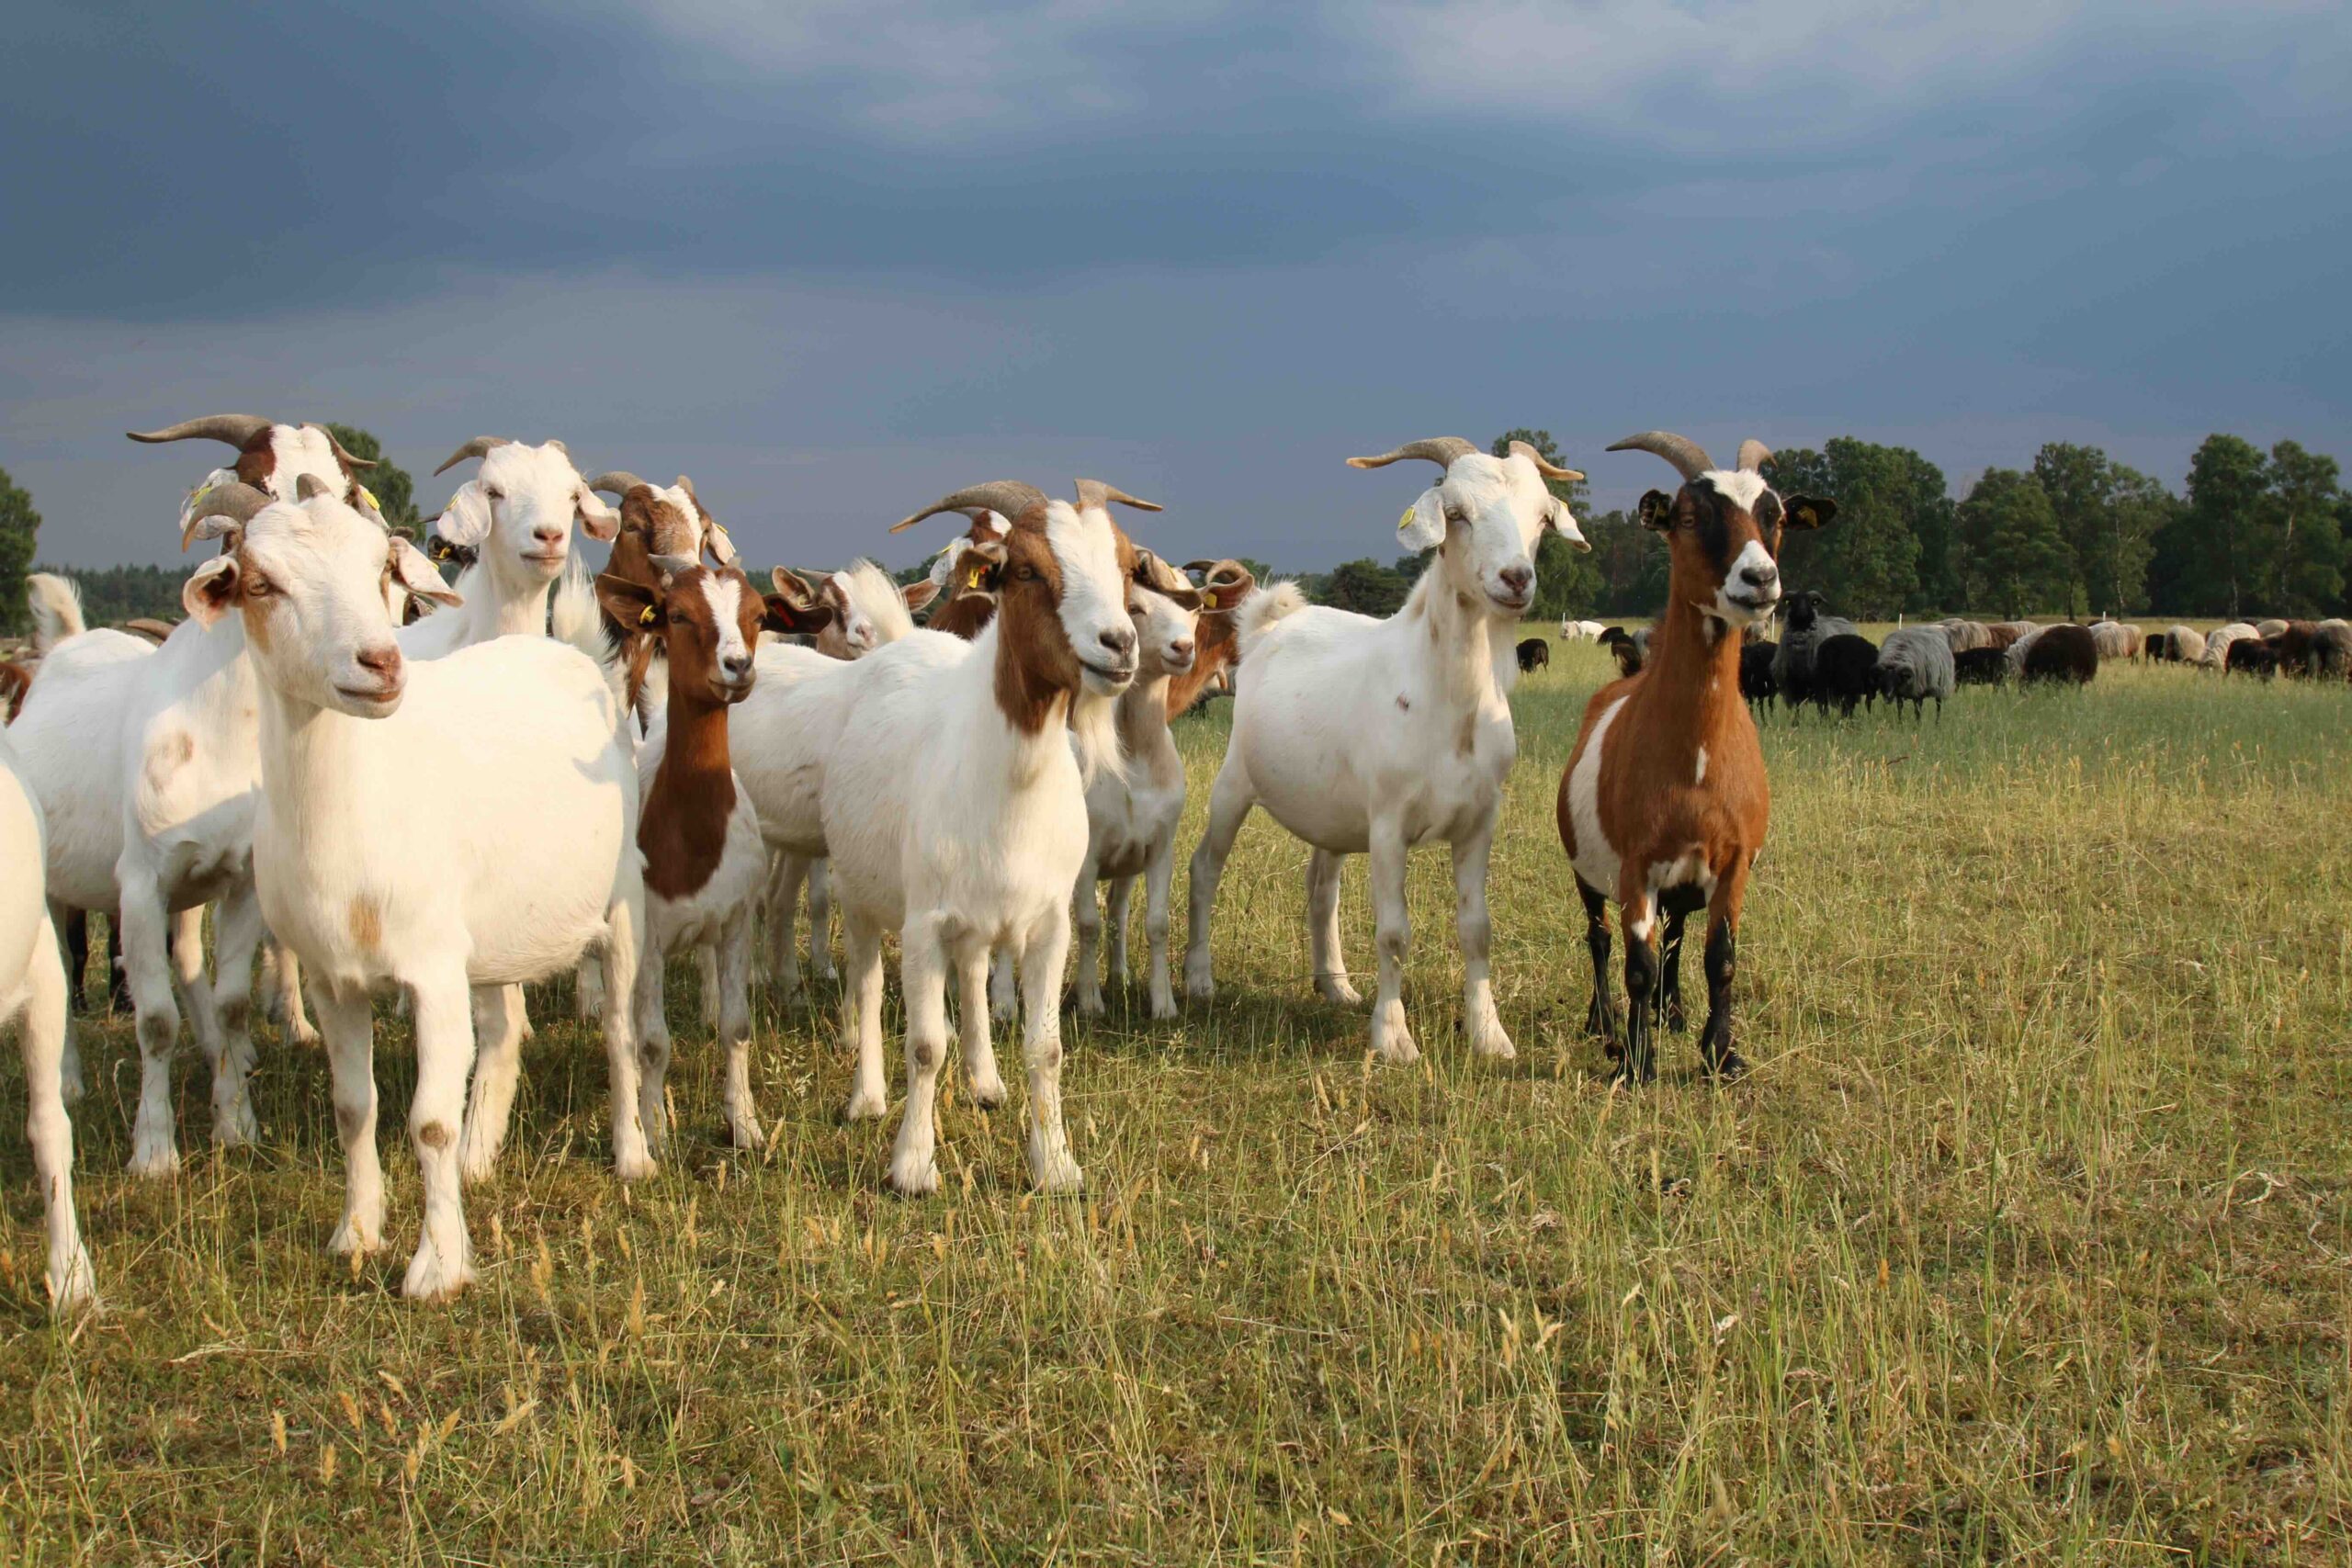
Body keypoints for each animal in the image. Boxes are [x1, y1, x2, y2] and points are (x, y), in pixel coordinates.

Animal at [187, 477, 646, 1298]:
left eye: (381, 569)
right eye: (262, 583)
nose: (379, 663)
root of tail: (566, 655)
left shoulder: (431, 972)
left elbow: (427, 1121)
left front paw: (437, 1265)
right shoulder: (335, 979)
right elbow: (353, 1107)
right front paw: (356, 1232)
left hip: (622, 903)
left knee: (620, 1031)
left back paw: (631, 1154)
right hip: (491, 937)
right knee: (503, 1033)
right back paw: (481, 1156)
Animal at [823, 478, 1158, 1196]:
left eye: (1124, 566)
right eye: (1026, 569)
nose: (1119, 643)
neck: (1011, 780)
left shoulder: (1049, 920)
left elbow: (1046, 1047)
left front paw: (1055, 1164)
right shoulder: (924, 920)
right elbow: (925, 1046)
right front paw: (912, 1166)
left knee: (975, 974)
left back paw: (985, 1082)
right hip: (858, 892)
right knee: (866, 983)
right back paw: (866, 1098)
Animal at [1187, 437, 1588, 1064]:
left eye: (1543, 518)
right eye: (1457, 513)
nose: (1516, 578)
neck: (1450, 705)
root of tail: (1268, 625)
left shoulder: (1480, 820)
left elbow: (1478, 929)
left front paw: (1490, 1036)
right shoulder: (1388, 824)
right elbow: (1394, 931)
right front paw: (1394, 1040)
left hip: (1332, 811)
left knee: (1321, 888)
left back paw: (1336, 985)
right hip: (1234, 782)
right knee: (1206, 867)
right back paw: (1200, 979)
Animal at [1558, 431, 1835, 1084]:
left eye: (1775, 516)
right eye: (1688, 516)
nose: (1759, 578)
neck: (1697, 764)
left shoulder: (1733, 865)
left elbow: (1720, 958)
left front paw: (1722, 1054)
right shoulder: (1636, 866)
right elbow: (1637, 963)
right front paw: (1636, 1063)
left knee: (1677, 936)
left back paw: (1675, 1013)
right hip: (1587, 870)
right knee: (1598, 938)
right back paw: (1604, 1023)